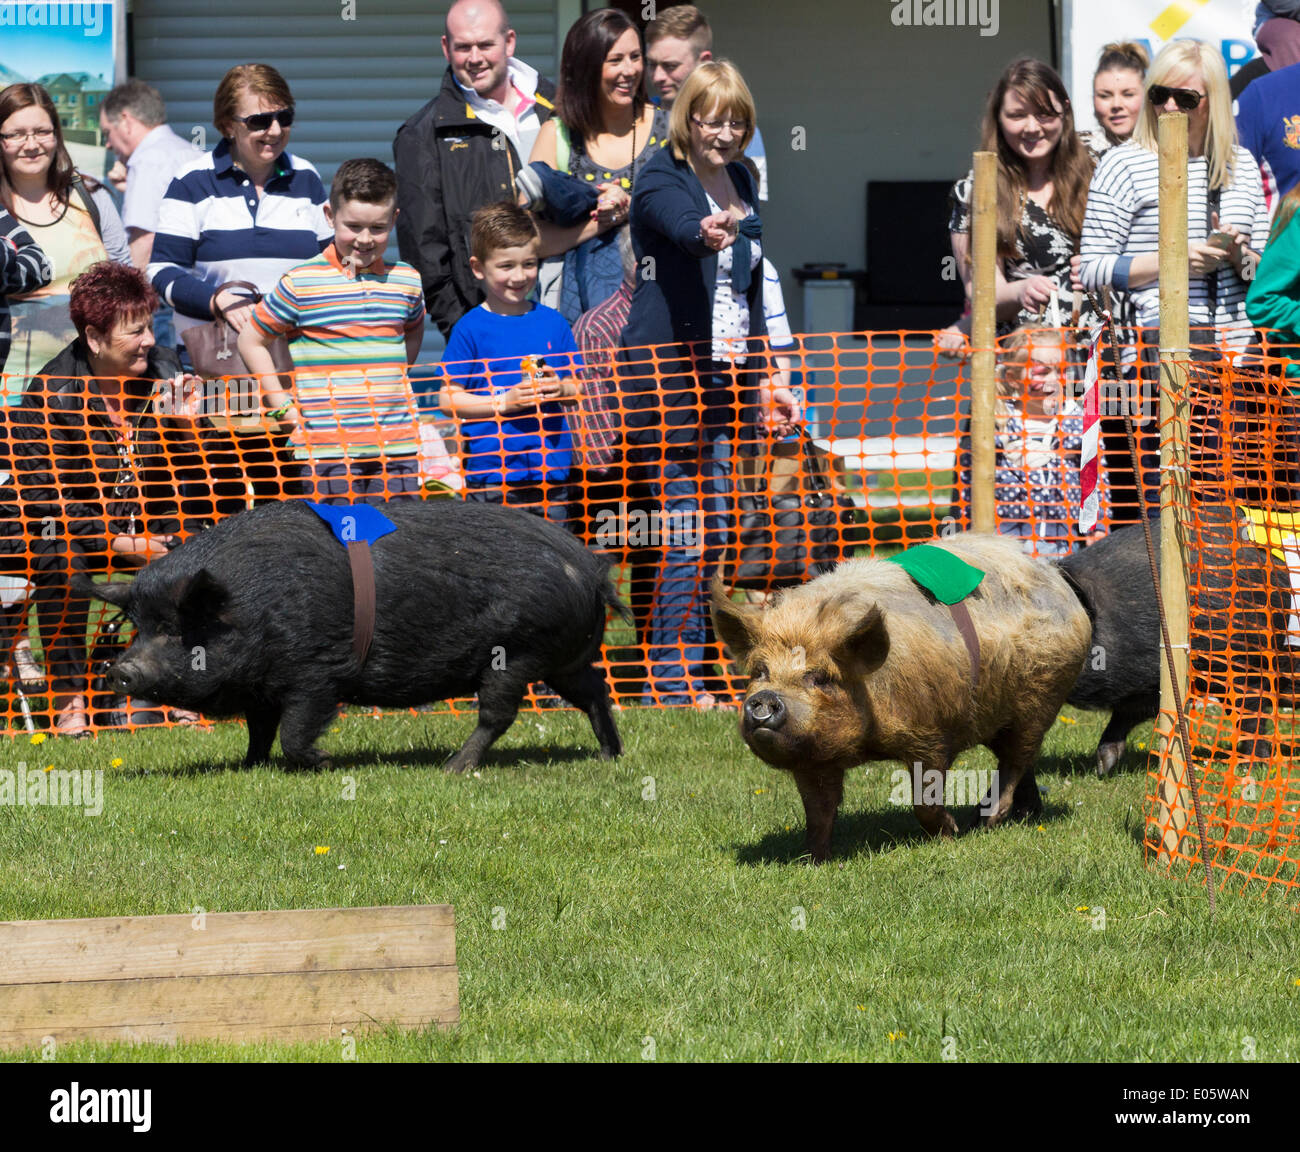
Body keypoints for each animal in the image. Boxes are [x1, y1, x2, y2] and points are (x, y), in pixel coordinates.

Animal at [74, 499, 626, 772]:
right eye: (140, 627)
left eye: (174, 629)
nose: (119, 670)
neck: (250, 610)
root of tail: (589, 570)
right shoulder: (261, 685)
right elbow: (259, 729)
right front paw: (249, 767)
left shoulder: (316, 670)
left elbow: (295, 731)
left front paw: (324, 763)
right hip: (563, 659)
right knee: (595, 691)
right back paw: (609, 756)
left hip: (516, 653)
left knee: (498, 714)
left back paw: (453, 769)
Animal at [711, 534, 1093, 861]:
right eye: (760, 672)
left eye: (821, 677)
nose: (764, 700)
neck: (869, 744)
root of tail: (1058, 580)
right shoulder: (813, 757)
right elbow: (819, 808)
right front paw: (815, 859)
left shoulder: (933, 732)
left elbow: (925, 796)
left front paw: (950, 833)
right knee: (1020, 761)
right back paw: (1023, 815)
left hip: (1040, 699)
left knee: (1016, 759)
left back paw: (984, 821)